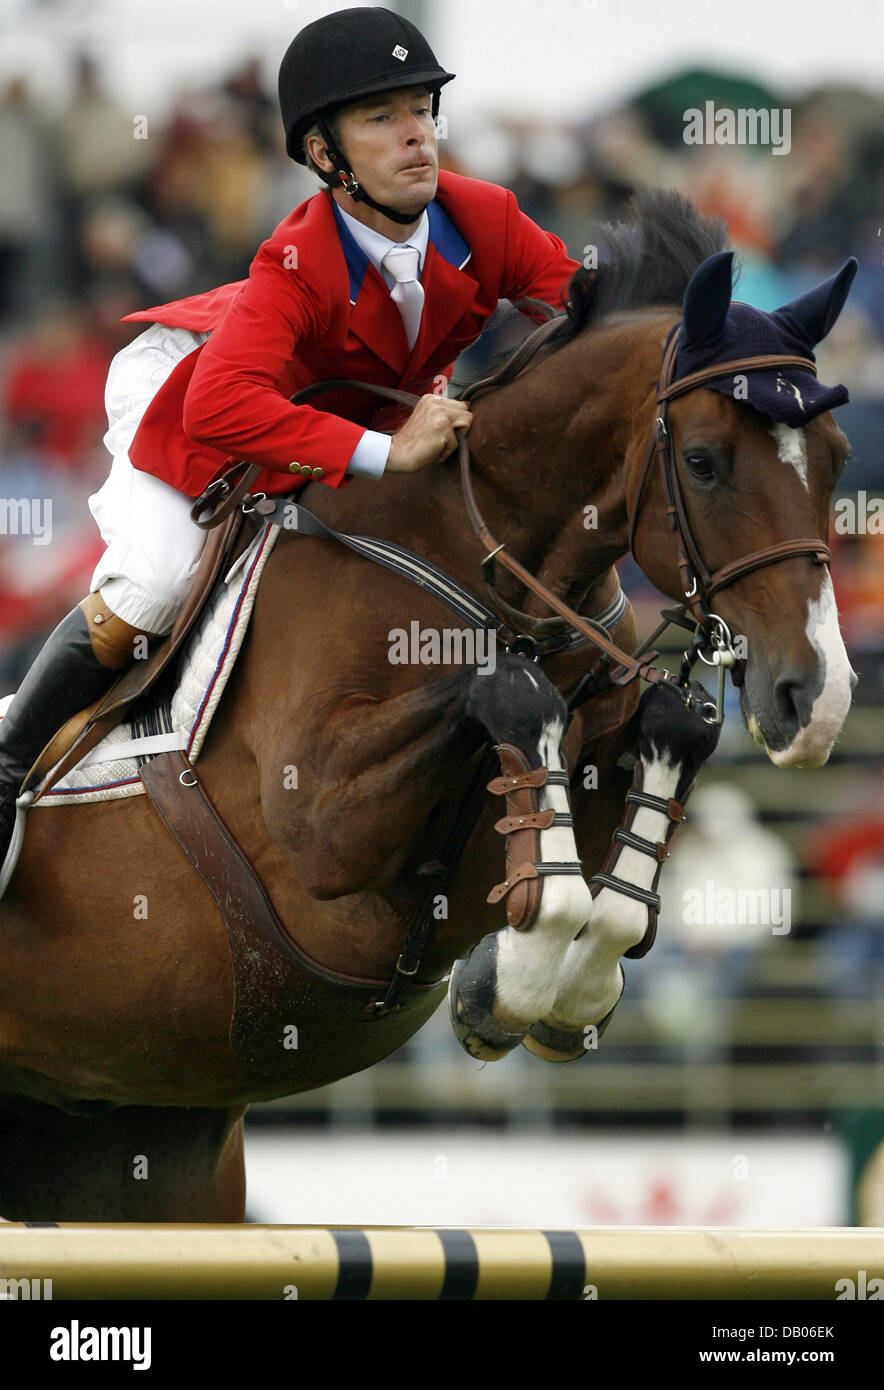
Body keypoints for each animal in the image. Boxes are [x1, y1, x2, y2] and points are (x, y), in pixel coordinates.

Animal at [0, 190, 855, 1221]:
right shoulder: (321, 826)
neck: (484, 568)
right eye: (703, 460)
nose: (816, 698)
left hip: (148, 1154)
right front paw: (514, 973)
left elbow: (656, 752)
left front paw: (525, 986)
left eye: (840, 458)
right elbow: (508, 692)